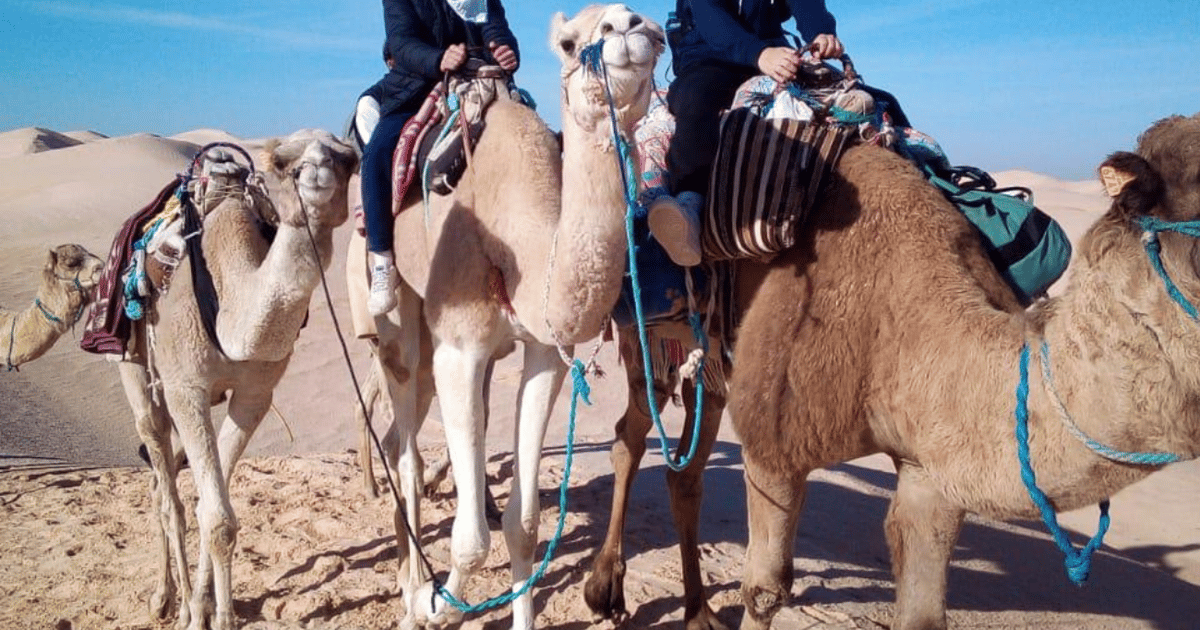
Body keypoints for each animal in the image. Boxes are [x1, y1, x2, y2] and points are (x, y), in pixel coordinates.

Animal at [116, 130, 357, 630]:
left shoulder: (255, 393)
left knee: (164, 483)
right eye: (283, 162)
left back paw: (174, 597)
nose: (317, 172)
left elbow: (217, 511)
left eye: (350, 159)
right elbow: (212, 513)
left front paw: (213, 609)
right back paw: (166, 601)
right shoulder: (187, 389)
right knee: (166, 492)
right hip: (135, 369)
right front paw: (198, 615)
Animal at [359, 6, 663, 629]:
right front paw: (433, 605)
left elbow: (524, 524)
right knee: (405, 441)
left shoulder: (545, 353)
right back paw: (410, 582)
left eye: (650, 24)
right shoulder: (458, 350)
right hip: (403, 323)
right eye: (570, 43)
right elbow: (471, 540)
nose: (627, 25)